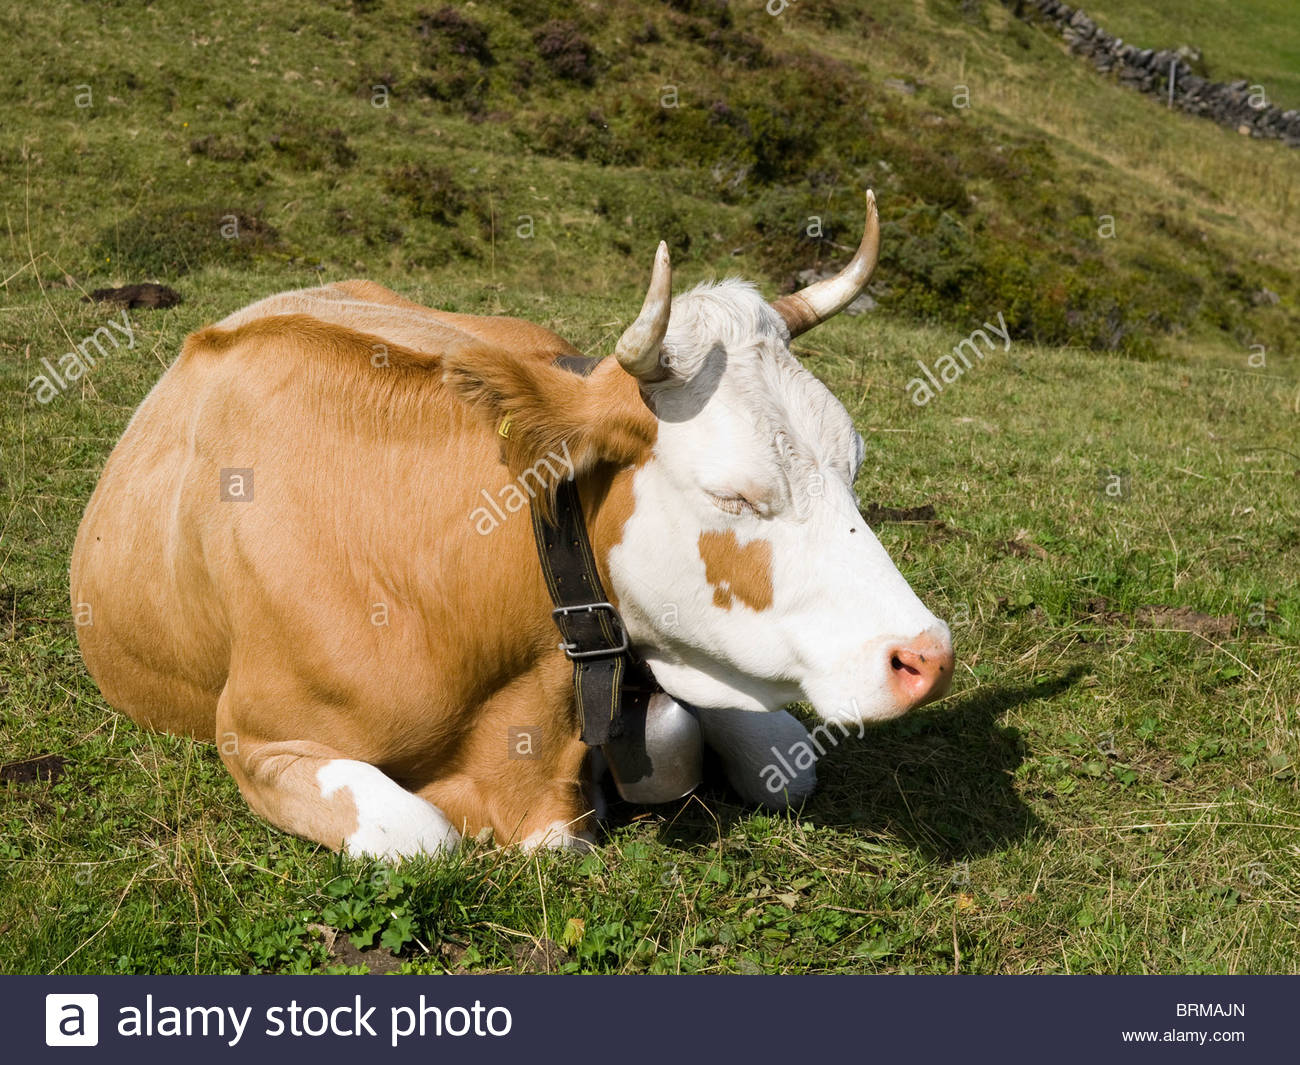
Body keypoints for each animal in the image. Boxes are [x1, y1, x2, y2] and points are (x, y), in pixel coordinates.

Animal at [70, 191, 954, 860]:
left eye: (852, 463)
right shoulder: (252, 738)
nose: (929, 655)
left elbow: (777, 759)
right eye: (734, 496)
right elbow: (421, 836)